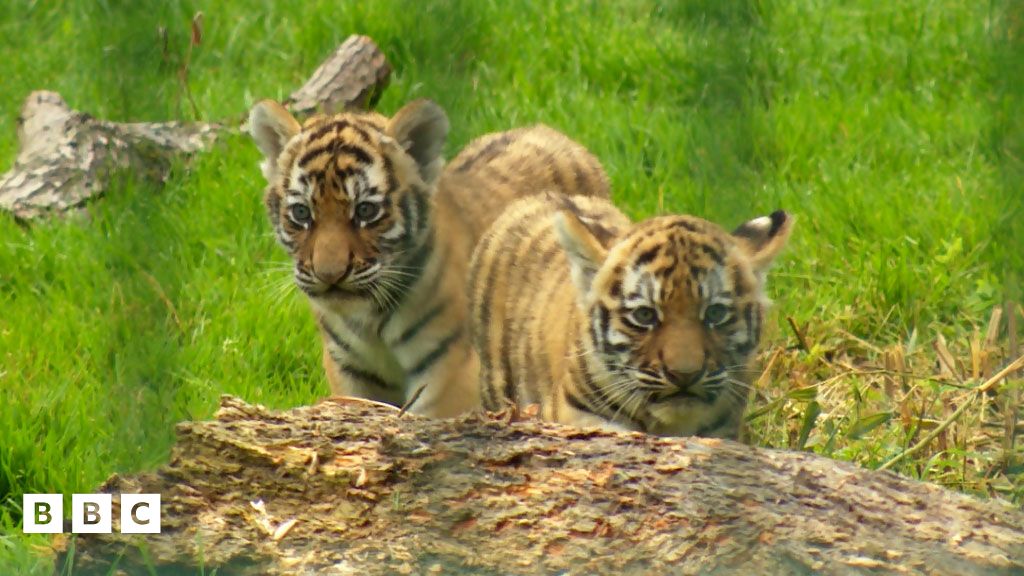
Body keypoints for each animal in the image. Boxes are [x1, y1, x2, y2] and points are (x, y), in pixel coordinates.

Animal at [247, 99, 609, 417]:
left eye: (365, 211)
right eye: (301, 213)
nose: (329, 274)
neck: (370, 320)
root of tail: (553, 134)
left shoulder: (450, 369)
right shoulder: (349, 369)